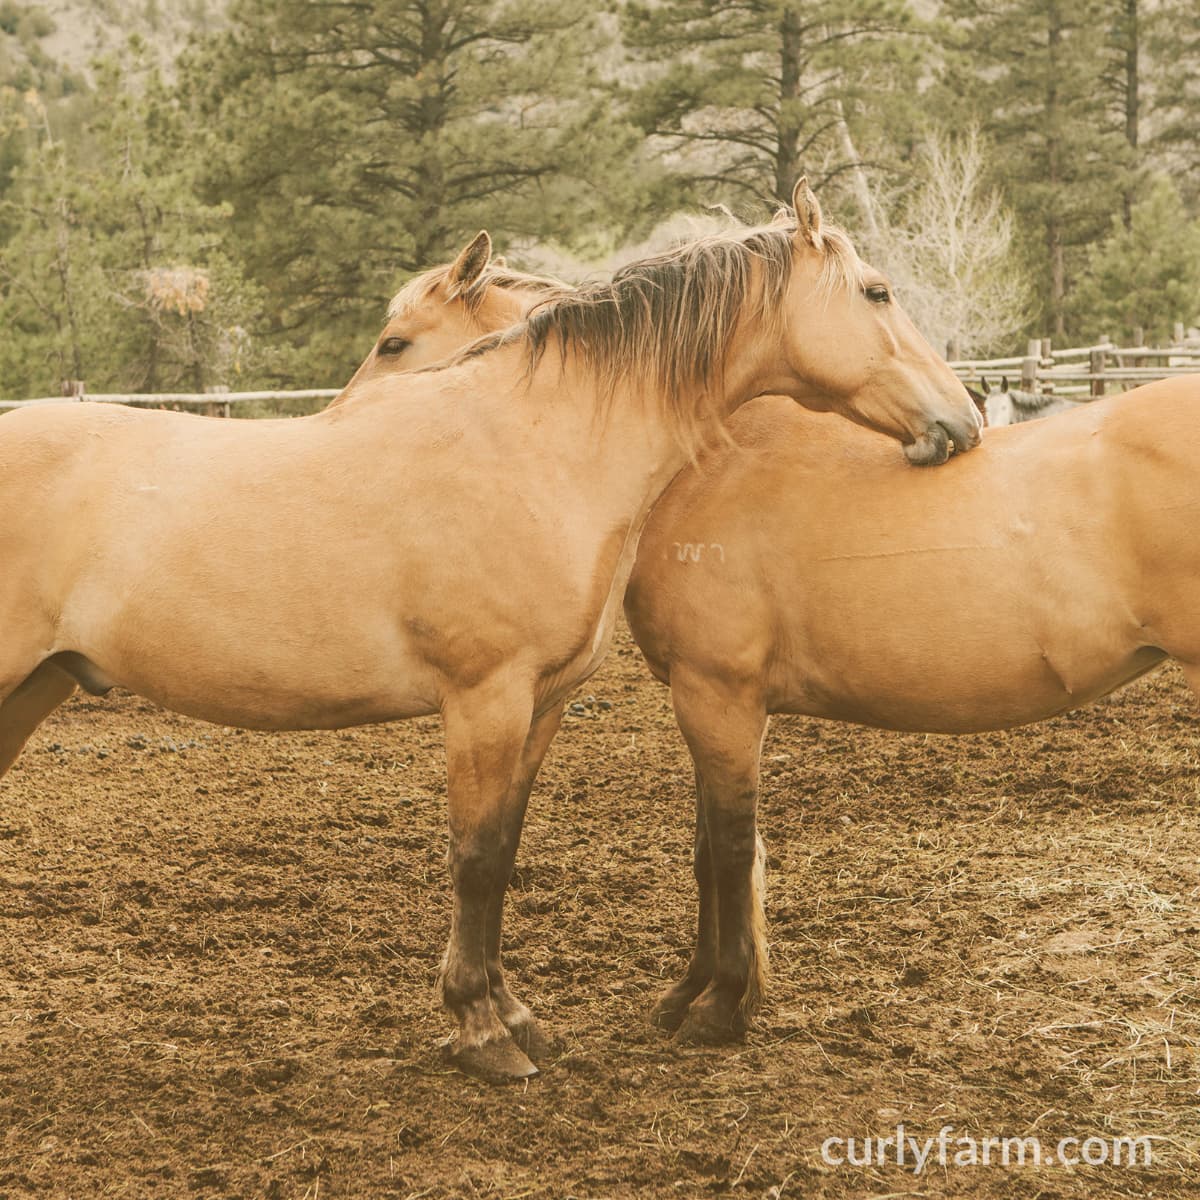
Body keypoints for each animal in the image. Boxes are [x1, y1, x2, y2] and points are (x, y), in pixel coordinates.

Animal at [0, 179, 982, 1082]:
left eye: (396, 342)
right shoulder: (485, 700)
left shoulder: (540, 703)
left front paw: (514, 1016)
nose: (963, 420)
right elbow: (472, 860)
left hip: (33, 688)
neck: (536, 444)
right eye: (877, 292)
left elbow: (503, 853)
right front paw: (480, 1033)